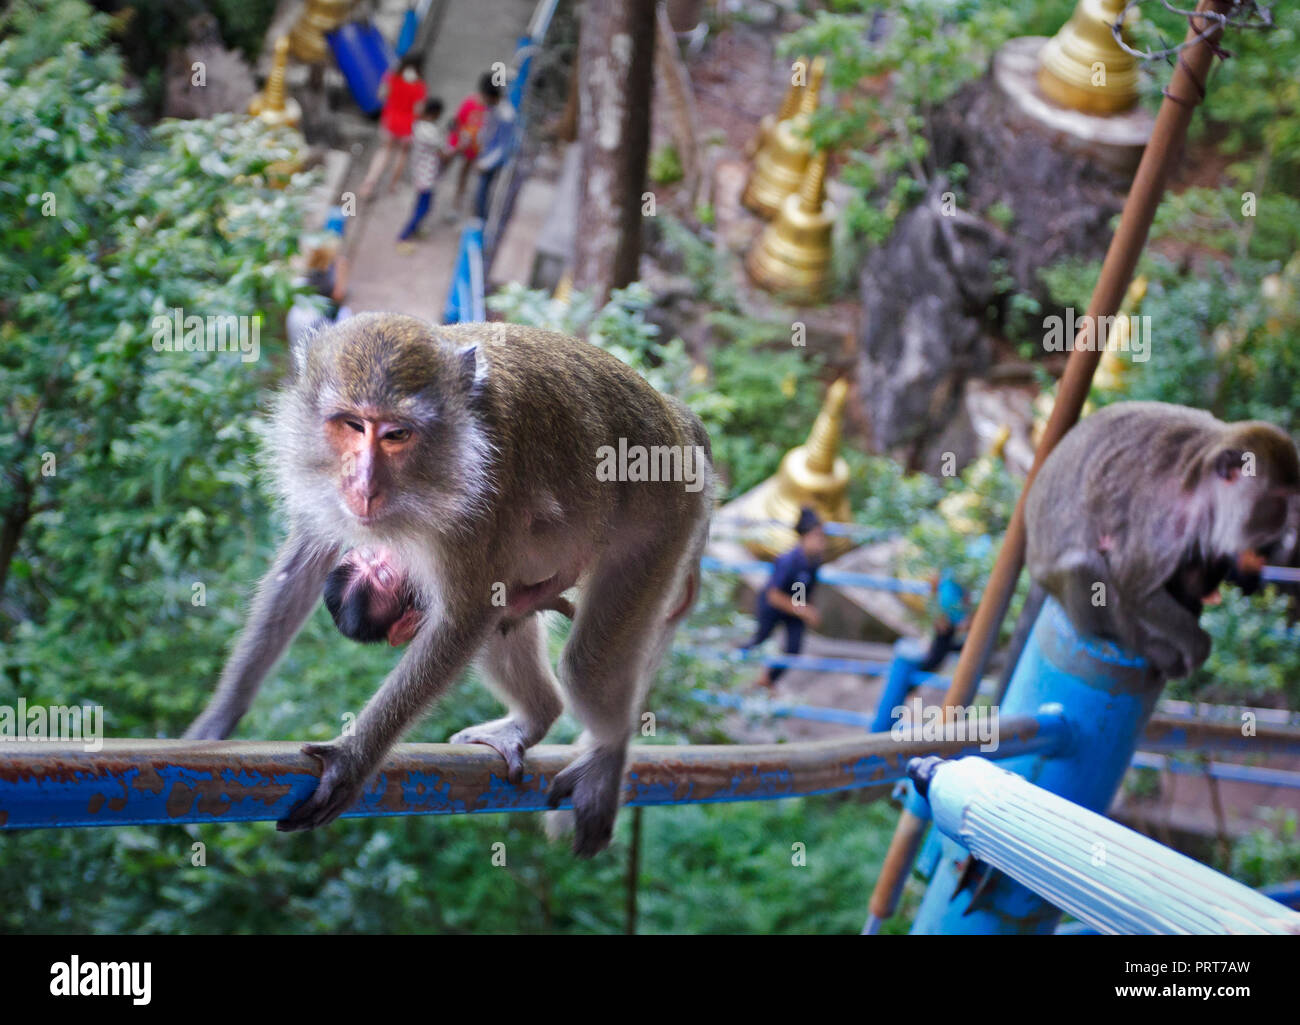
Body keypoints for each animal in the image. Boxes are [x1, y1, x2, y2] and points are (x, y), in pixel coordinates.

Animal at [1025, 401, 1299, 679]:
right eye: (1279, 500)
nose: (1293, 522)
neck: (1201, 480)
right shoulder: (1163, 520)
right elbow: (1134, 589)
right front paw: (1197, 645)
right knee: (1085, 565)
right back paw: (1140, 643)